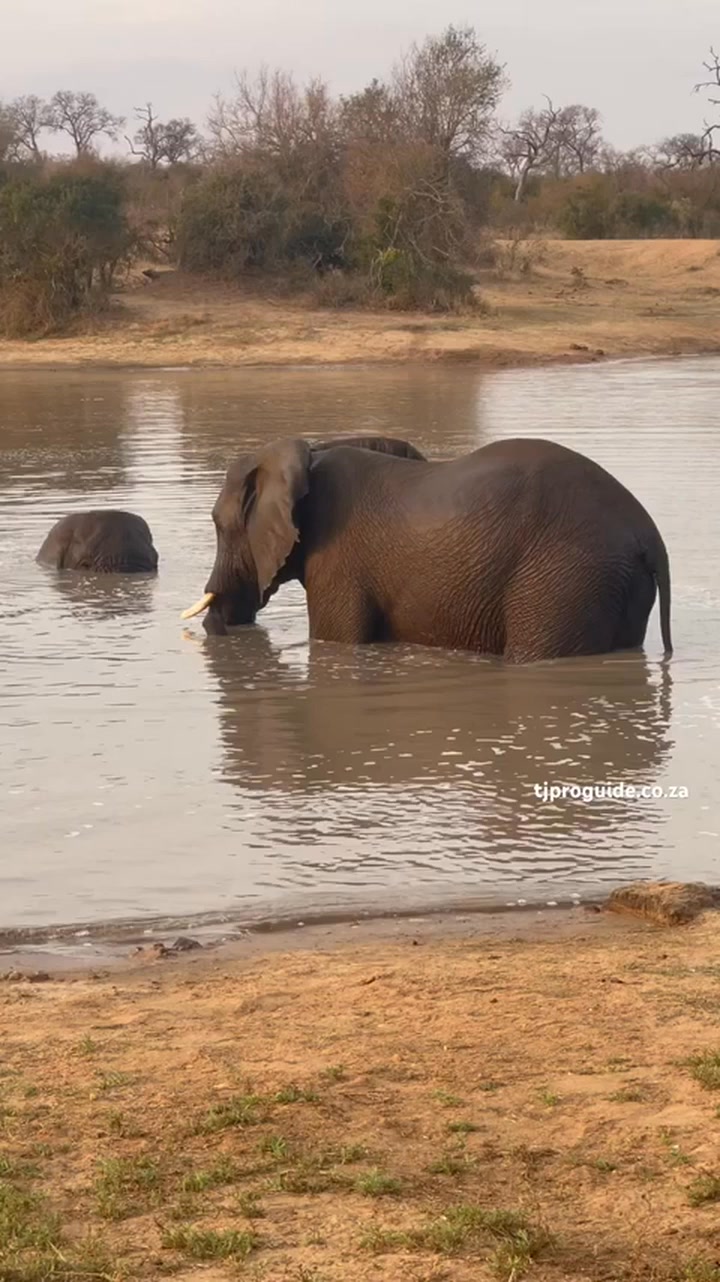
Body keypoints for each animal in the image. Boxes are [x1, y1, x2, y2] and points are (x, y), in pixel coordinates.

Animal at [182, 435, 672, 662]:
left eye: (218, 525)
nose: (224, 622)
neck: (309, 455)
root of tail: (648, 534)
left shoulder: (336, 564)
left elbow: (336, 639)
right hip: (610, 579)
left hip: (565, 577)